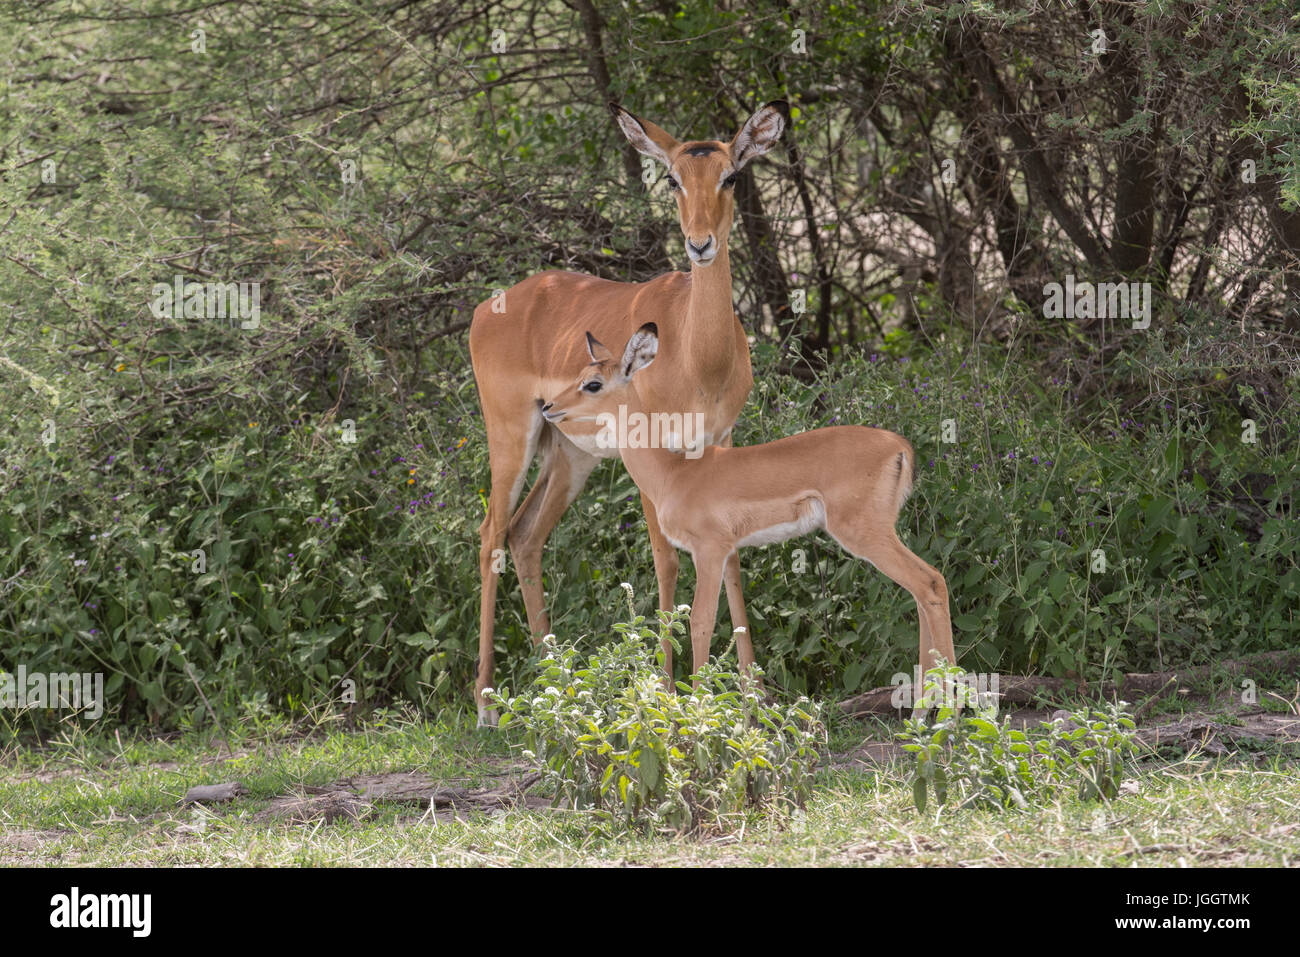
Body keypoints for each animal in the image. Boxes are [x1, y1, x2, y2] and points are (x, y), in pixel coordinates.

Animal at [469, 102, 789, 727]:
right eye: (672, 179)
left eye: (729, 176)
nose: (699, 244)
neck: (697, 354)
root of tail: (485, 307)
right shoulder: (653, 450)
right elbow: (665, 560)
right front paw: (666, 690)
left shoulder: (721, 440)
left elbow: (732, 558)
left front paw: (752, 691)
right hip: (512, 438)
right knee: (491, 533)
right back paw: (487, 704)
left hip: (569, 456)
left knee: (524, 536)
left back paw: (556, 681)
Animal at [540, 323, 956, 682]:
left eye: (593, 384)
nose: (548, 407)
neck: (674, 474)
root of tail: (899, 446)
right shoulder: (725, 553)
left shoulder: (708, 550)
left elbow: (701, 621)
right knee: (923, 591)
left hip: (864, 533)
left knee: (930, 583)